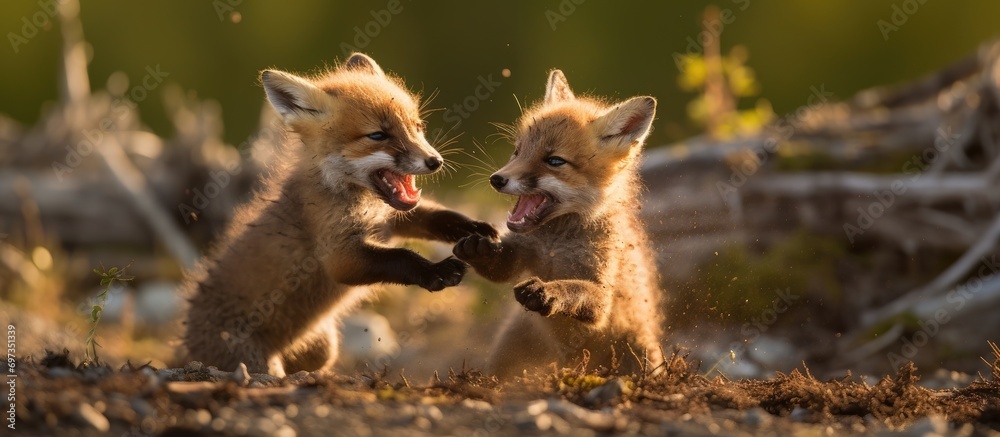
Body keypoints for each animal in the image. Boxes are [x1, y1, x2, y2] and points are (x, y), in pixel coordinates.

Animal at [182, 53, 496, 378]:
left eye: (417, 127)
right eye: (378, 135)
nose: (435, 161)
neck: (357, 199)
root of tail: (186, 336)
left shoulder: (389, 220)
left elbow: (439, 217)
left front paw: (476, 230)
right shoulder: (339, 255)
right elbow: (402, 257)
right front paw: (437, 272)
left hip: (323, 348)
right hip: (261, 363)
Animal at [453, 70, 665, 378]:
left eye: (554, 161)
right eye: (517, 152)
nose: (497, 179)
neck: (554, 245)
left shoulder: (601, 295)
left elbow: (576, 289)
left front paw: (549, 291)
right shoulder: (522, 252)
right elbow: (501, 267)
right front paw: (481, 249)